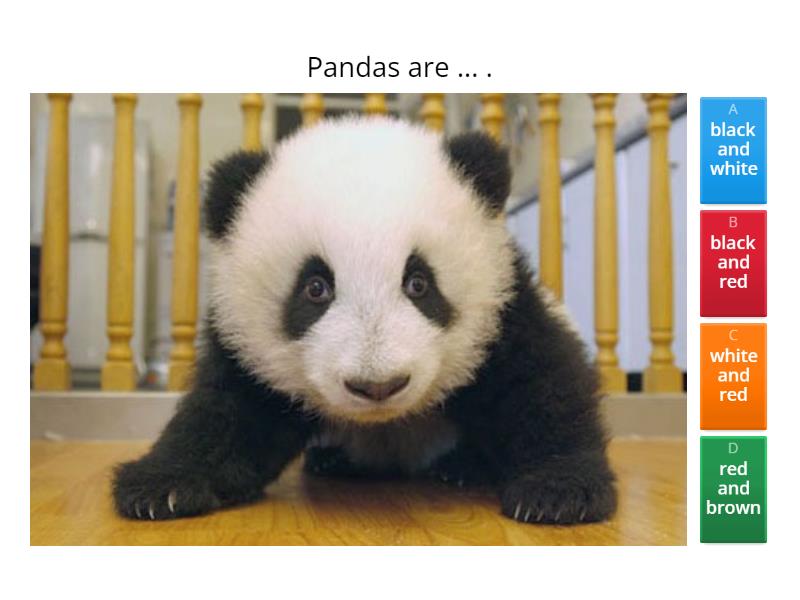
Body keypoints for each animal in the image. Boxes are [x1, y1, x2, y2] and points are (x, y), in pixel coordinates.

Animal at [113, 116, 617, 525]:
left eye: (419, 283)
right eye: (315, 287)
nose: (378, 386)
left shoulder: (503, 308)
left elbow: (539, 384)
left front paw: (558, 491)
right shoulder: (247, 344)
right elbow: (227, 411)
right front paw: (160, 486)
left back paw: (463, 465)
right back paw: (335, 460)